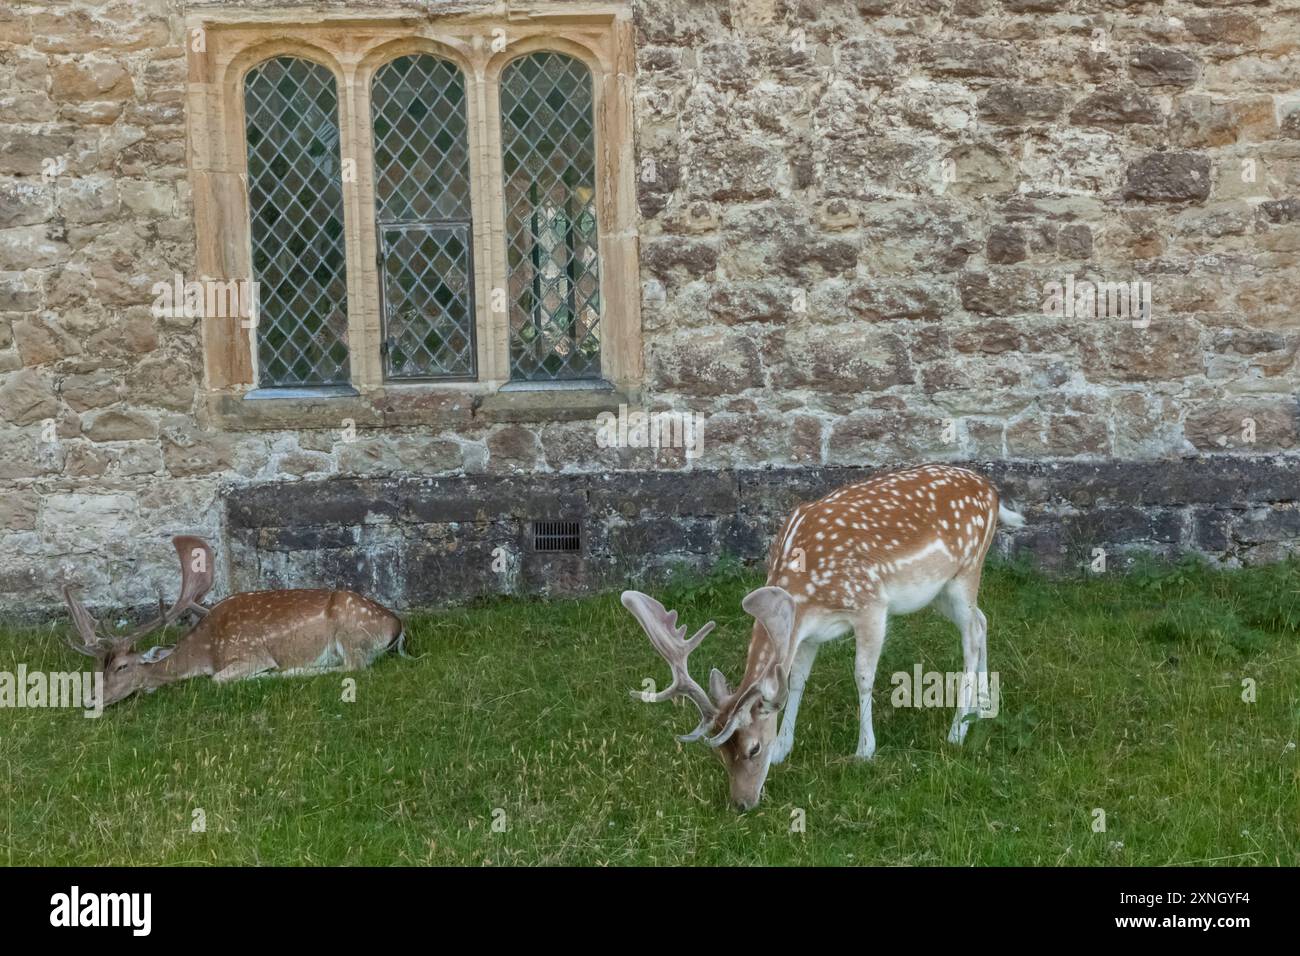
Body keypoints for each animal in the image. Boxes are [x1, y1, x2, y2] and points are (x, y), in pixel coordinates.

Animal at [62, 536, 406, 707]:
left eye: (122, 666)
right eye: (97, 667)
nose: (89, 699)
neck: (208, 650)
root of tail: (396, 626)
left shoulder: (251, 654)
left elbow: (217, 679)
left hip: (351, 634)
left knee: (354, 667)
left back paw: (284, 672)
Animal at [623, 463, 1025, 810]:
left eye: (753, 749)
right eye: (721, 755)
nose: (742, 803)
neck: (805, 593)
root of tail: (992, 492)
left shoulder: (870, 605)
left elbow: (862, 676)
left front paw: (864, 751)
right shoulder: (808, 632)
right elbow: (796, 681)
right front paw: (785, 748)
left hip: (966, 570)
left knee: (971, 635)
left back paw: (957, 730)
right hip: (938, 590)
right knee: (981, 621)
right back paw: (983, 706)